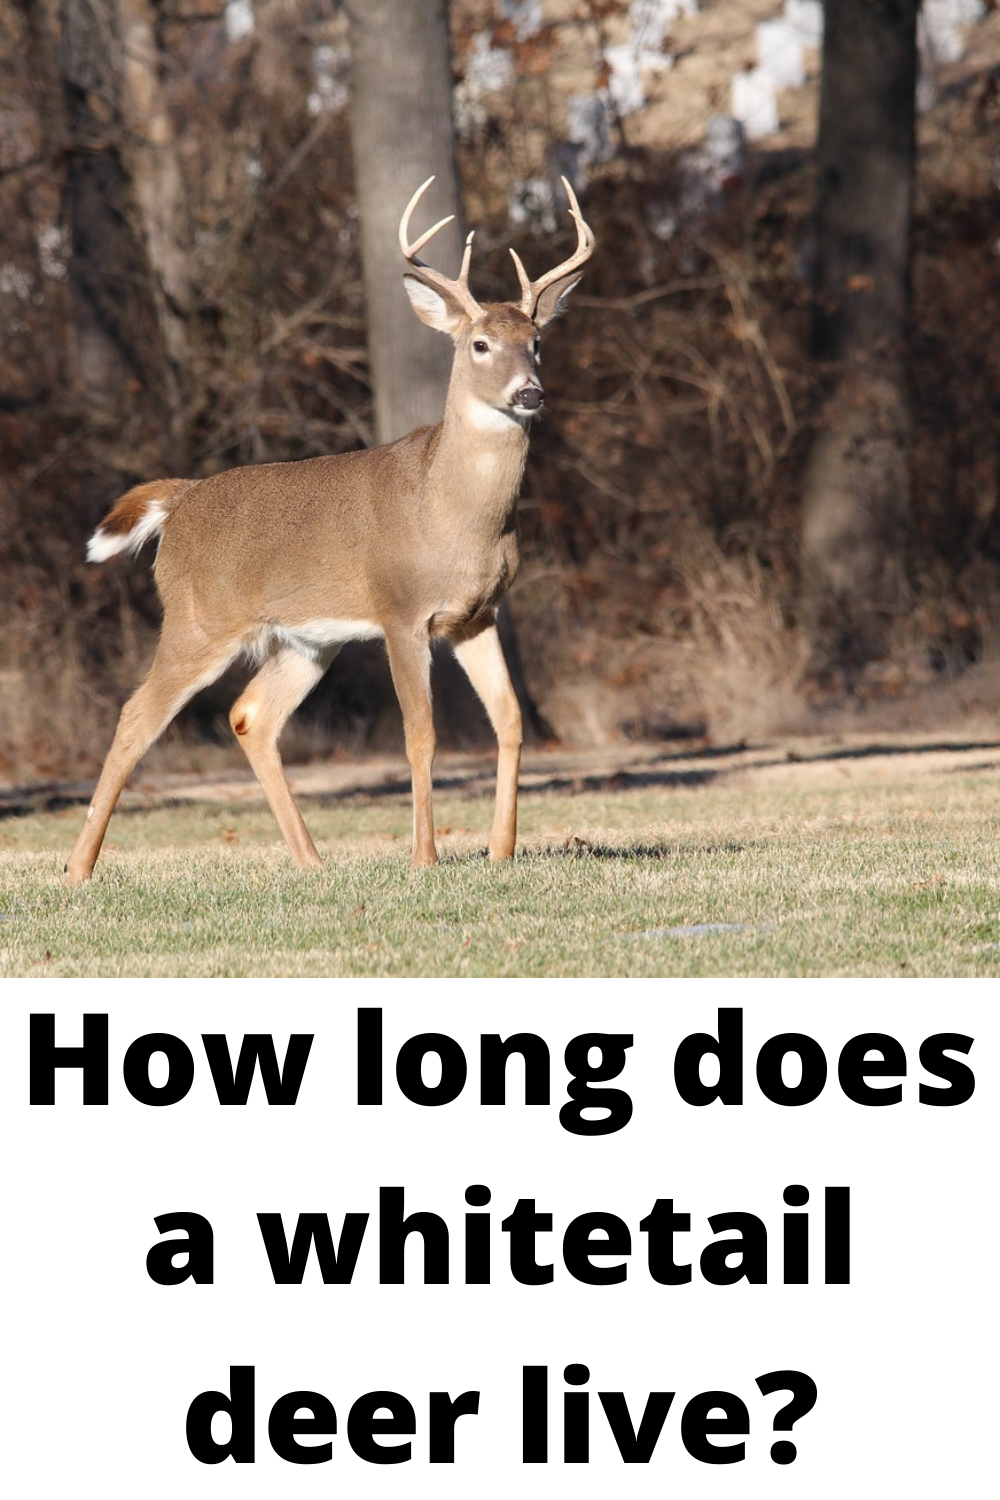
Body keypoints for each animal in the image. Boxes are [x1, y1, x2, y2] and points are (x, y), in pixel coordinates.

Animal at [65, 177, 595, 884]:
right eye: (479, 344)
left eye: (537, 342)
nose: (530, 393)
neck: (456, 515)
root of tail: (180, 502)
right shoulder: (401, 611)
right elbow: (420, 735)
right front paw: (424, 858)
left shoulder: (477, 614)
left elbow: (509, 719)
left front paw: (500, 850)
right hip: (198, 620)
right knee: (136, 715)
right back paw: (77, 868)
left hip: (306, 640)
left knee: (250, 715)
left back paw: (311, 861)